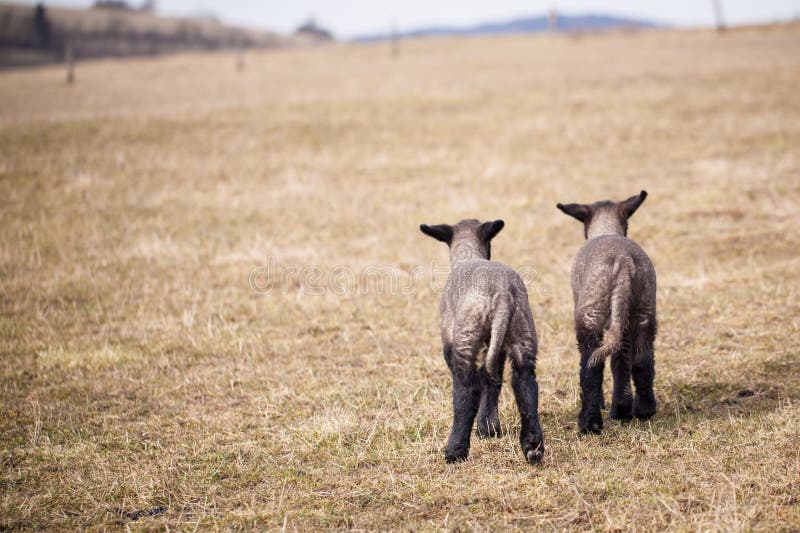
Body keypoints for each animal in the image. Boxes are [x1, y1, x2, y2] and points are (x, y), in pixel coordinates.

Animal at [420, 219, 544, 464]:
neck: (468, 255)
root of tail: (503, 294)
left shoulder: (450, 341)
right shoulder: (497, 348)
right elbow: (492, 384)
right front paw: (488, 428)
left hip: (466, 337)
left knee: (466, 390)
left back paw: (455, 451)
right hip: (522, 334)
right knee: (524, 383)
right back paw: (532, 446)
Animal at [556, 191, 657, 435]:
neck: (606, 229)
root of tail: (623, 264)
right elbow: (621, 361)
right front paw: (622, 408)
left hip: (591, 313)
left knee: (591, 368)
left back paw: (589, 423)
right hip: (643, 310)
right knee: (641, 360)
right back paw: (640, 410)